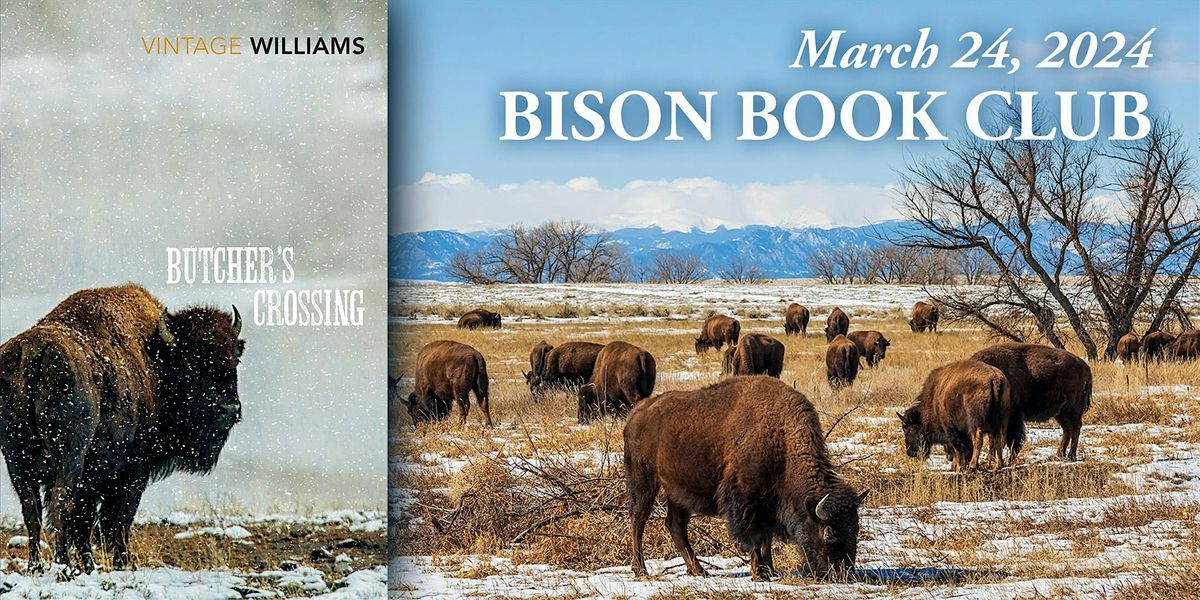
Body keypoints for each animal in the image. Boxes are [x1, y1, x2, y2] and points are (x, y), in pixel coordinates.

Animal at [0, 284, 245, 572]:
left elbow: (85, 523)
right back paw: (64, 570)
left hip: (16, 460)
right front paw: (122, 563)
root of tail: (33, 352)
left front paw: (90, 566)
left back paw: (37, 567)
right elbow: (116, 520)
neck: (157, 359)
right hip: (69, 457)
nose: (229, 409)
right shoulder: (132, 472)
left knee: (32, 510)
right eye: (192, 361)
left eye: (234, 357)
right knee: (61, 504)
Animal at [624, 376, 868, 581]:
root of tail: (637, 413)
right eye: (830, 537)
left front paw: (769, 570)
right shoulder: (745, 501)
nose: (843, 575)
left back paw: (698, 570)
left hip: (678, 491)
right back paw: (640, 569)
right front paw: (759, 572)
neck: (780, 436)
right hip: (643, 480)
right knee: (638, 519)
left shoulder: (768, 505)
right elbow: (755, 537)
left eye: (855, 532)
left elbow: (766, 538)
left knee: (676, 525)